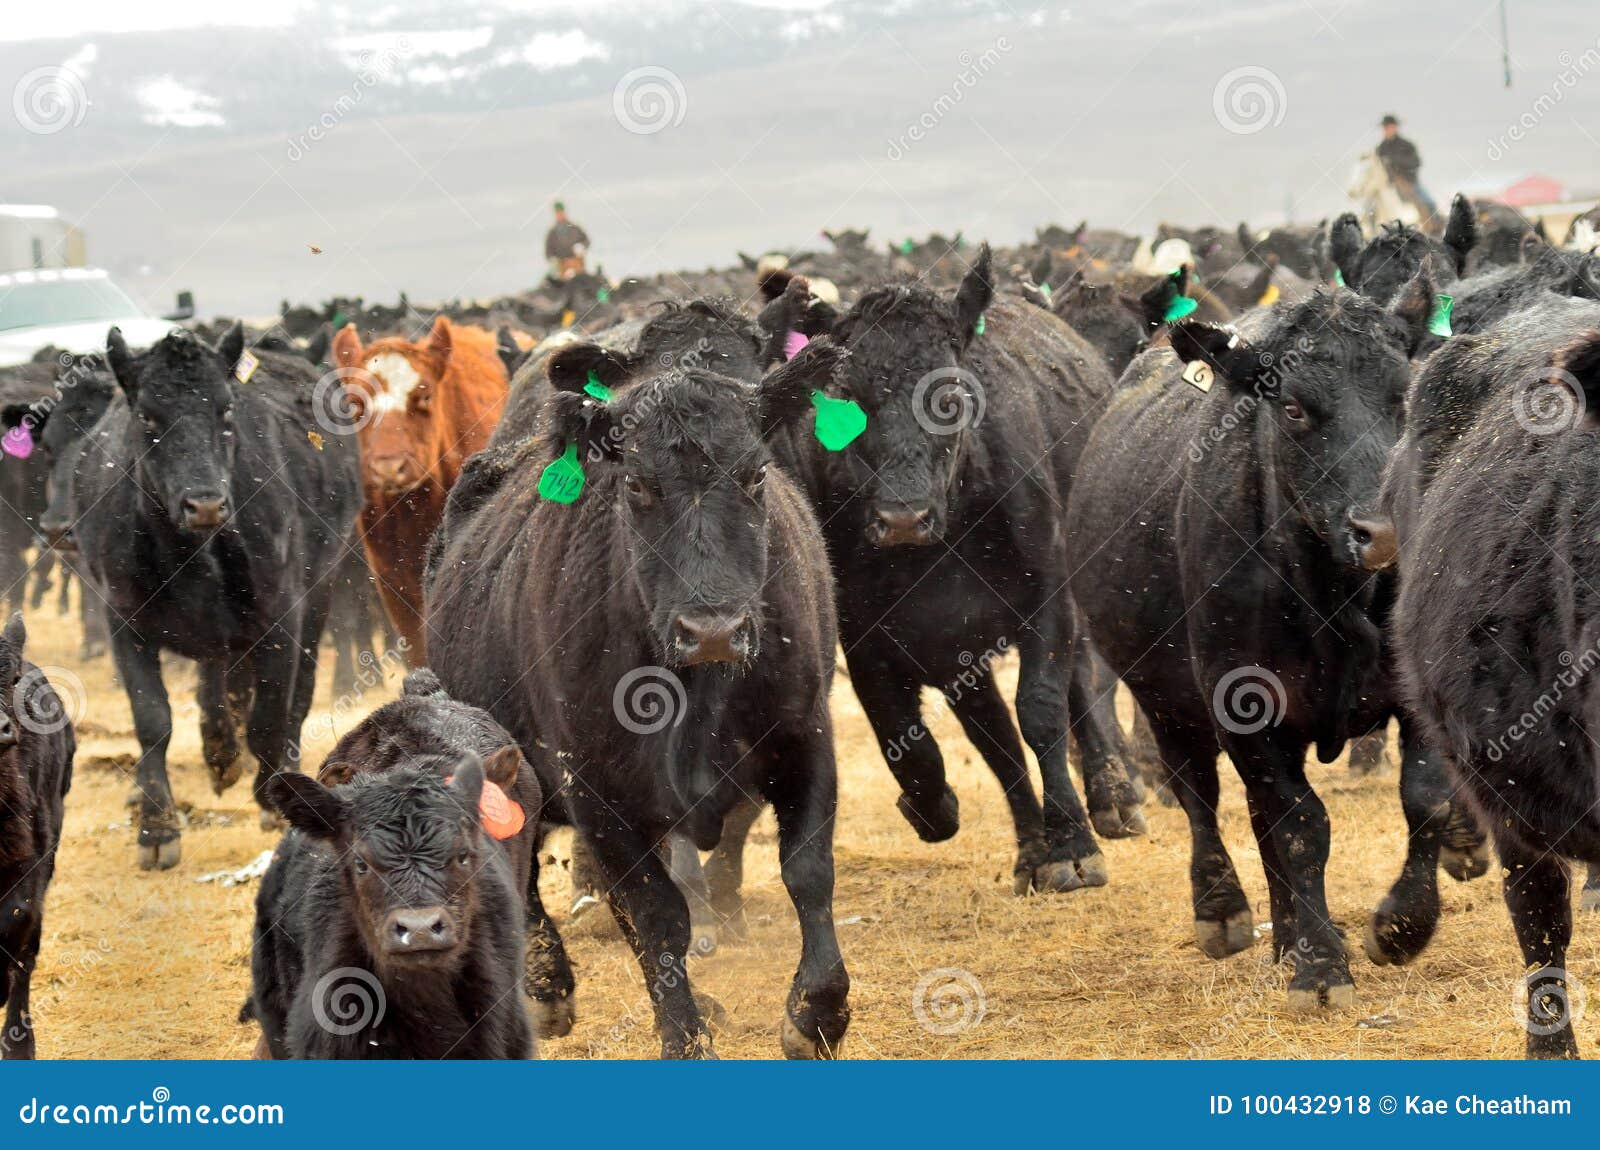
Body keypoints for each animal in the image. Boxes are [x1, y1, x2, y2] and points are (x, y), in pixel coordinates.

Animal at [73, 324, 360, 869]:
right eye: (147, 416)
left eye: (226, 411)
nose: (205, 503)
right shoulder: (123, 620)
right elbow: (153, 721)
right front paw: (157, 829)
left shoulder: (282, 616)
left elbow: (270, 716)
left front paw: (273, 800)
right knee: (215, 685)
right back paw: (219, 754)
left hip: (322, 593)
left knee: (297, 696)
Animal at [425, 338, 852, 1059]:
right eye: (637, 485)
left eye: (755, 477)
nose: (713, 629)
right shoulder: (598, 788)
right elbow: (655, 914)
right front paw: (682, 1036)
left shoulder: (805, 739)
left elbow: (808, 871)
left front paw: (815, 1014)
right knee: (521, 880)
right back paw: (548, 989)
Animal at [765, 246, 1144, 897]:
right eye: (848, 399)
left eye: (952, 396)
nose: (902, 518)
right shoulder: (880, 641)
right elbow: (919, 740)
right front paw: (934, 809)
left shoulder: (1048, 600)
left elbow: (1041, 710)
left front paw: (1073, 847)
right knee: (994, 734)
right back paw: (1030, 847)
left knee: (1077, 690)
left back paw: (1112, 796)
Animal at [1065, 281, 1481, 1011]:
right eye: (1292, 407)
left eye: (1401, 398)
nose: (1381, 530)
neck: (1331, 595)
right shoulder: (1244, 707)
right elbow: (1300, 826)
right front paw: (1322, 972)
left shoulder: (1414, 695)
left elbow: (1423, 798)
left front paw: (1400, 925)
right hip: (1164, 700)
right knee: (1200, 794)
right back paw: (1225, 911)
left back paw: (1289, 935)